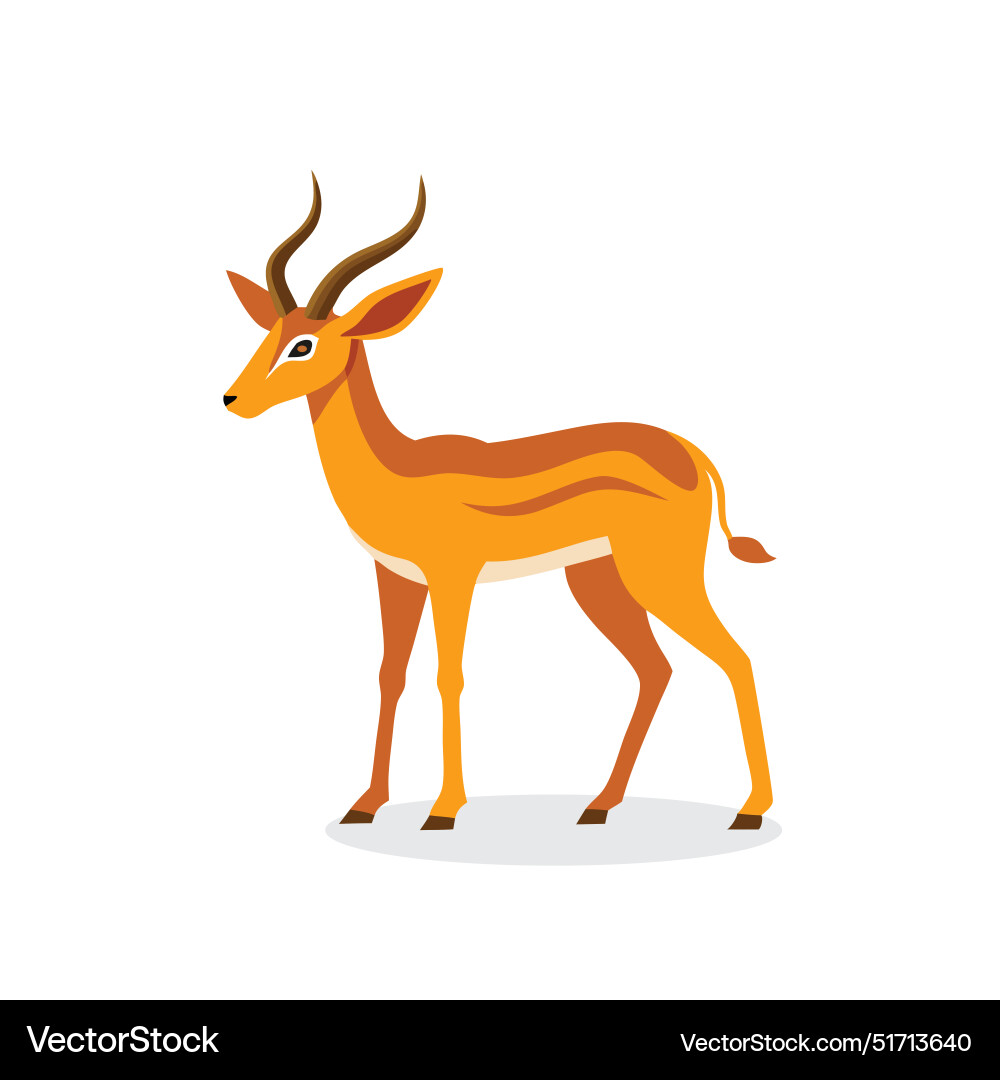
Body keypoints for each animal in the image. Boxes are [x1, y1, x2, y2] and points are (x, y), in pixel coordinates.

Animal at [224, 176, 775, 832]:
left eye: (303, 346)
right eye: (268, 335)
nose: (231, 398)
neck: (398, 468)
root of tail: (692, 454)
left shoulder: (452, 578)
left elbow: (449, 676)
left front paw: (444, 810)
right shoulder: (396, 578)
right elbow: (390, 675)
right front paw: (366, 803)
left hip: (660, 576)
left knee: (736, 658)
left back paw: (749, 810)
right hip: (599, 580)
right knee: (656, 669)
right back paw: (599, 805)